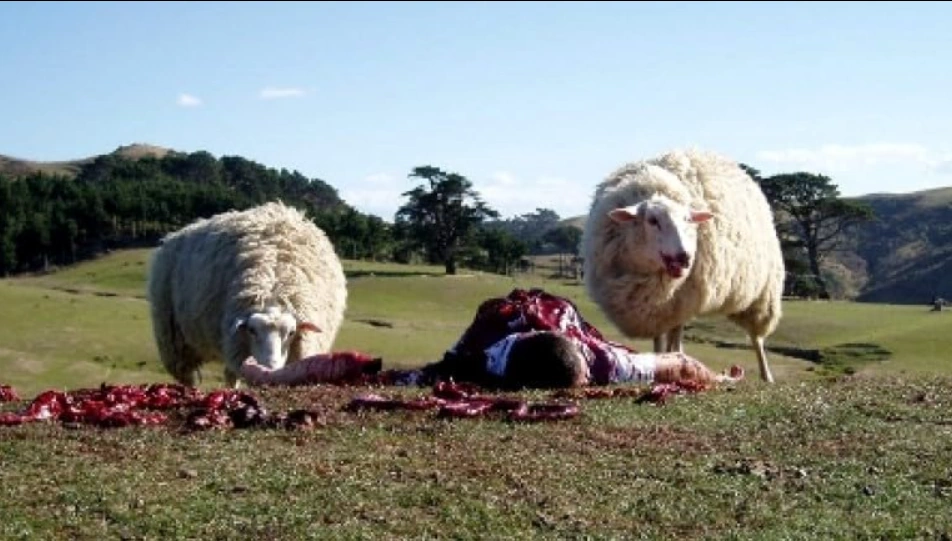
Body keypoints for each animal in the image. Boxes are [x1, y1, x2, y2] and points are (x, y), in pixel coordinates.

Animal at [146, 201, 347, 388]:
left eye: (291, 333)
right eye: (252, 330)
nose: (269, 369)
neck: (273, 286)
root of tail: (172, 236)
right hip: (175, 340)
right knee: (190, 377)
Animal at [580, 148, 785, 383]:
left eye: (688, 220)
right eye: (652, 220)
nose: (685, 257)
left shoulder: (683, 299)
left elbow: (676, 334)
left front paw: (676, 360)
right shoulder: (655, 307)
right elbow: (660, 338)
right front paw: (662, 361)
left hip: (763, 293)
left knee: (757, 337)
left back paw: (766, 374)